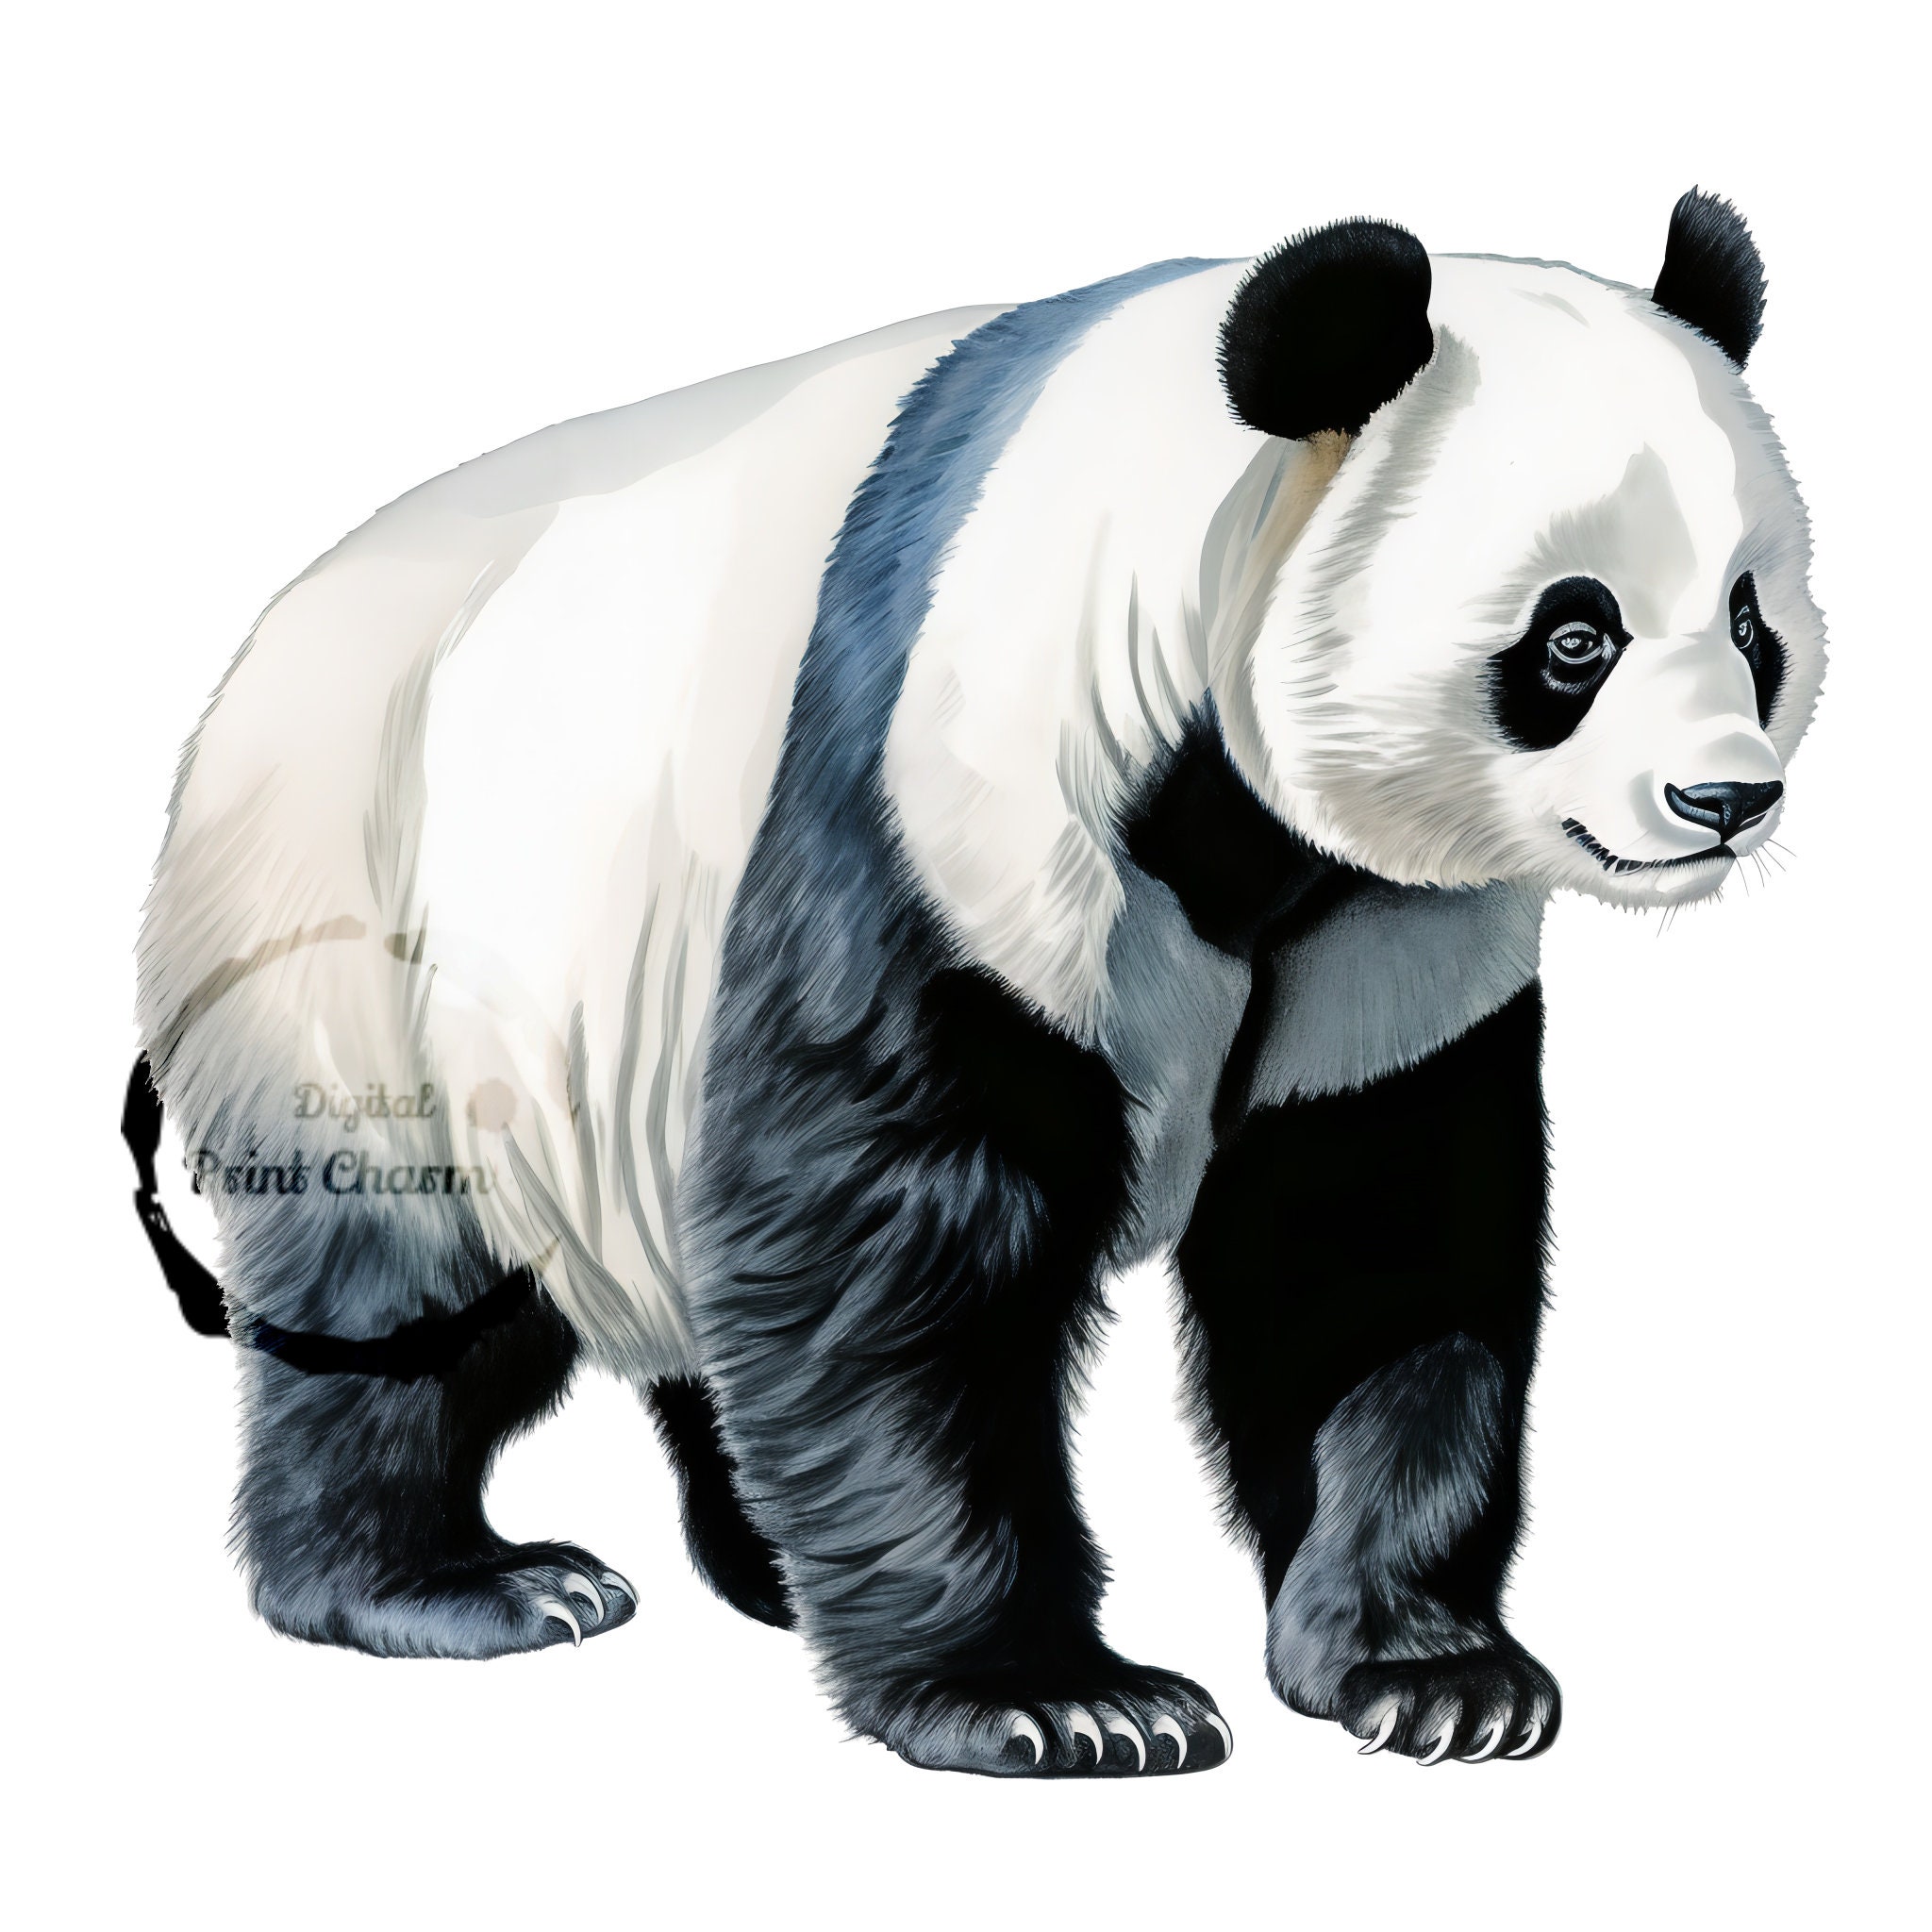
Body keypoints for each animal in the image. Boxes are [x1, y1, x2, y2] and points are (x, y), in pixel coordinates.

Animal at [131, 189, 1824, 1778]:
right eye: (1573, 636)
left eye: (1751, 621)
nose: (1722, 800)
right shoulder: (957, 788)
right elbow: (899, 1228)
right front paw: (1058, 1700)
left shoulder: (1395, 928)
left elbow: (1371, 1250)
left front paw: (1432, 1673)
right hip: (360, 922)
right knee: (400, 1287)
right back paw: (453, 1582)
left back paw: (754, 1562)